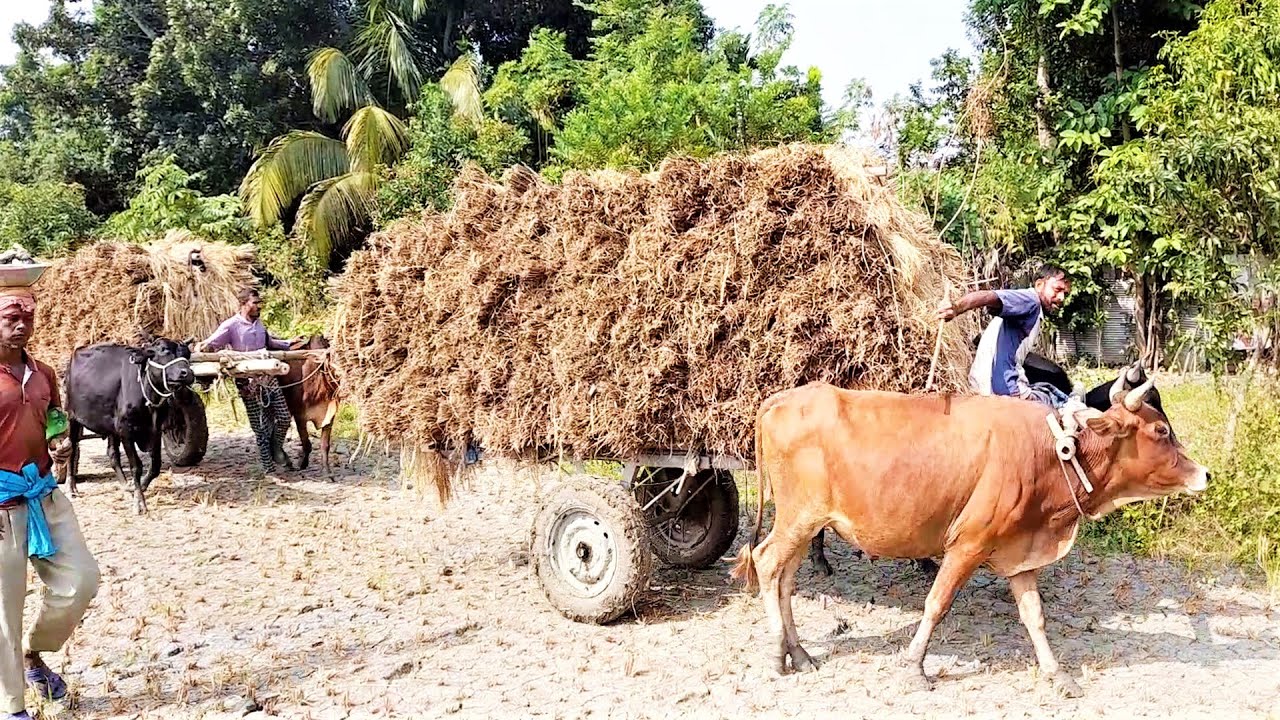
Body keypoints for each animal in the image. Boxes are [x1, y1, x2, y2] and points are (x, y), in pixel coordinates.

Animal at [65, 335, 195, 514]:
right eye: (163, 351)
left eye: (187, 354)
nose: (187, 373)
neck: (149, 398)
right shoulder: (126, 431)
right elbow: (136, 467)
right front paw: (139, 502)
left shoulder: (155, 430)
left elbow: (155, 466)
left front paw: (138, 488)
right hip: (72, 418)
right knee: (72, 450)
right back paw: (72, 488)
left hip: (111, 427)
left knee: (112, 455)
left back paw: (126, 486)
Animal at [280, 335, 340, 477]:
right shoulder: (300, 415)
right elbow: (307, 443)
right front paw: (302, 463)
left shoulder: (330, 415)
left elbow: (325, 445)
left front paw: (327, 470)